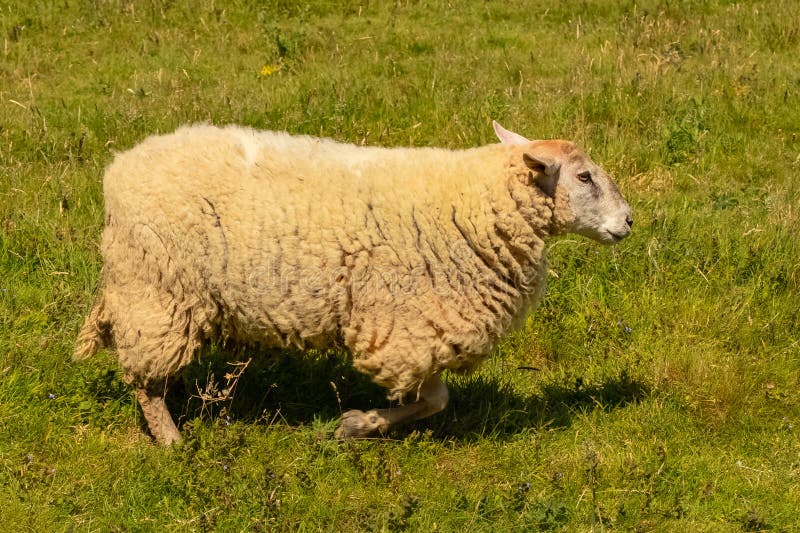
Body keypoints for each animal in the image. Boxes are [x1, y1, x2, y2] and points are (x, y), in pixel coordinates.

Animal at [74, 121, 633, 444]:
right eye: (584, 178)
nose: (628, 221)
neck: (474, 203)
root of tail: (119, 170)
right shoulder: (408, 326)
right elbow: (433, 400)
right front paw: (356, 425)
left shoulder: (422, 330)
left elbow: (436, 401)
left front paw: (358, 424)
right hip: (157, 290)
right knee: (145, 381)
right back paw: (171, 441)